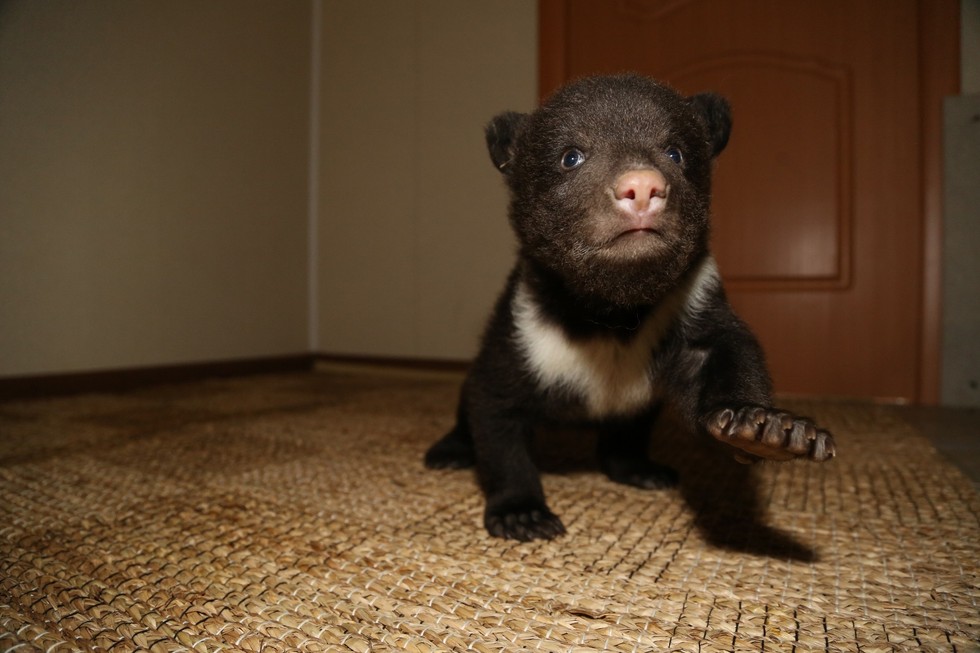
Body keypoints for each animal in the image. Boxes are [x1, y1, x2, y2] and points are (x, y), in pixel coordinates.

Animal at [424, 74, 836, 542]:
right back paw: (450, 451)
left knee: (627, 431)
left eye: (675, 152)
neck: (610, 308)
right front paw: (521, 512)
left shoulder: (689, 302)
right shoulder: (522, 330)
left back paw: (639, 467)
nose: (640, 186)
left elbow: (723, 355)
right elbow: (497, 412)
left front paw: (767, 429)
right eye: (571, 156)